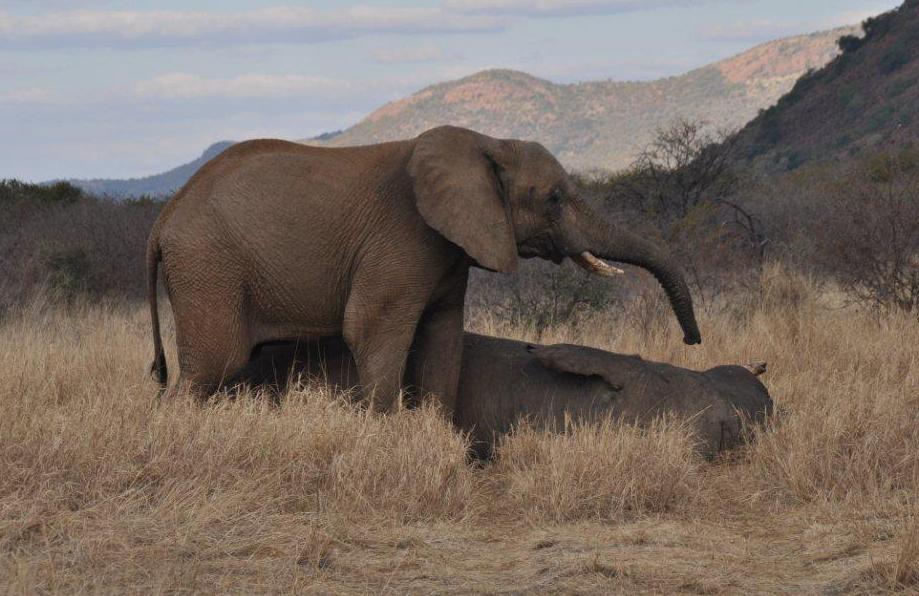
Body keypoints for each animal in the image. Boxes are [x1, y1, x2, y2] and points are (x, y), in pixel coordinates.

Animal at [147, 125, 701, 416]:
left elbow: (442, 337)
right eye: (555, 198)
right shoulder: (403, 239)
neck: (485, 142)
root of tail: (163, 220)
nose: (694, 341)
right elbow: (371, 329)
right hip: (207, 267)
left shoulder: (448, 251)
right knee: (212, 365)